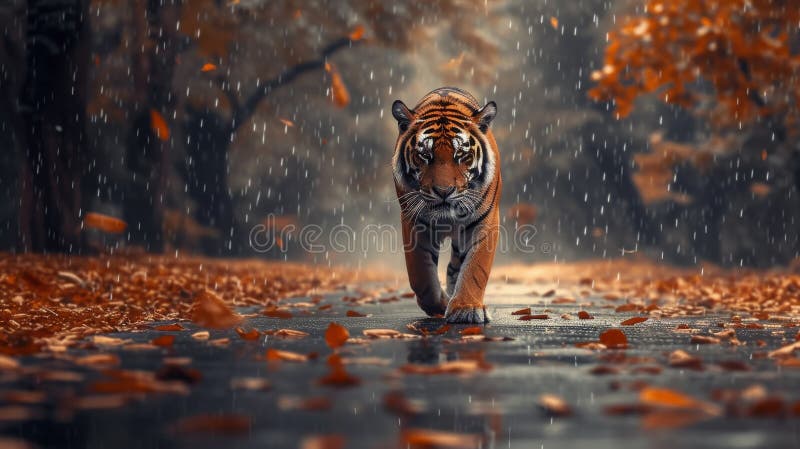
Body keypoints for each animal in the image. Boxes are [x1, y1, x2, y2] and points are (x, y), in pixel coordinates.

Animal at [391, 87, 501, 324]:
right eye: (424, 155)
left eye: (461, 155)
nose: (443, 191)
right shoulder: (414, 222)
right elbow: (420, 275)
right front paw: (439, 305)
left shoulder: (485, 222)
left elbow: (475, 268)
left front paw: (466, 308)